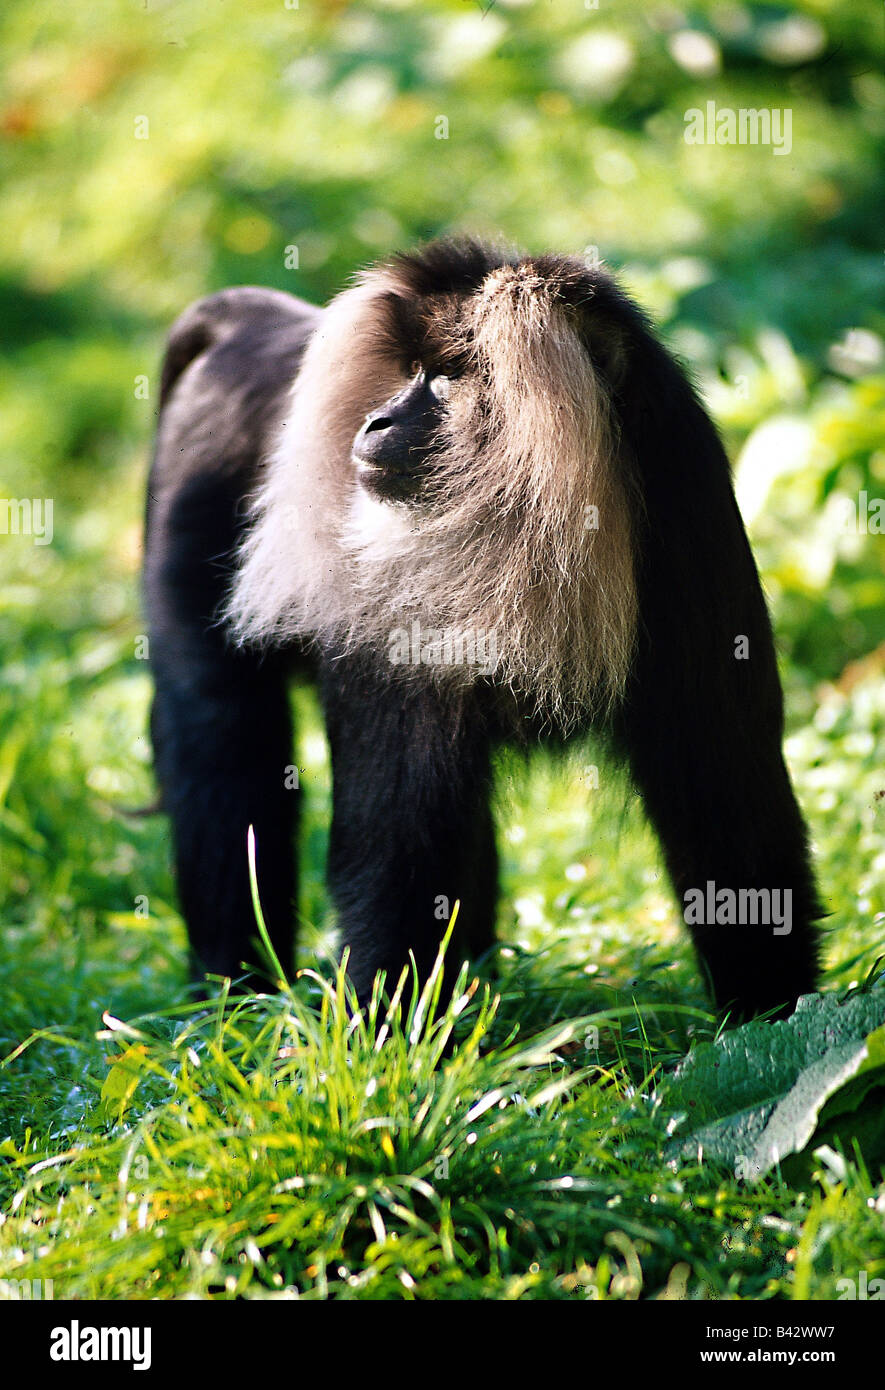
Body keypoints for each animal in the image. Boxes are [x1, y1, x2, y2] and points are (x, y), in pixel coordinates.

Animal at [143, 238, 822, 1019]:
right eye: (410, 373)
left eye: (443, 379)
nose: (373, 422)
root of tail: (250, 328)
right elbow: (394, 839)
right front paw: (388, 1032)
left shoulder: (690, 524)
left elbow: (727, 805)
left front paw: (773, 1022)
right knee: (224, 738)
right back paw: (232, 997)